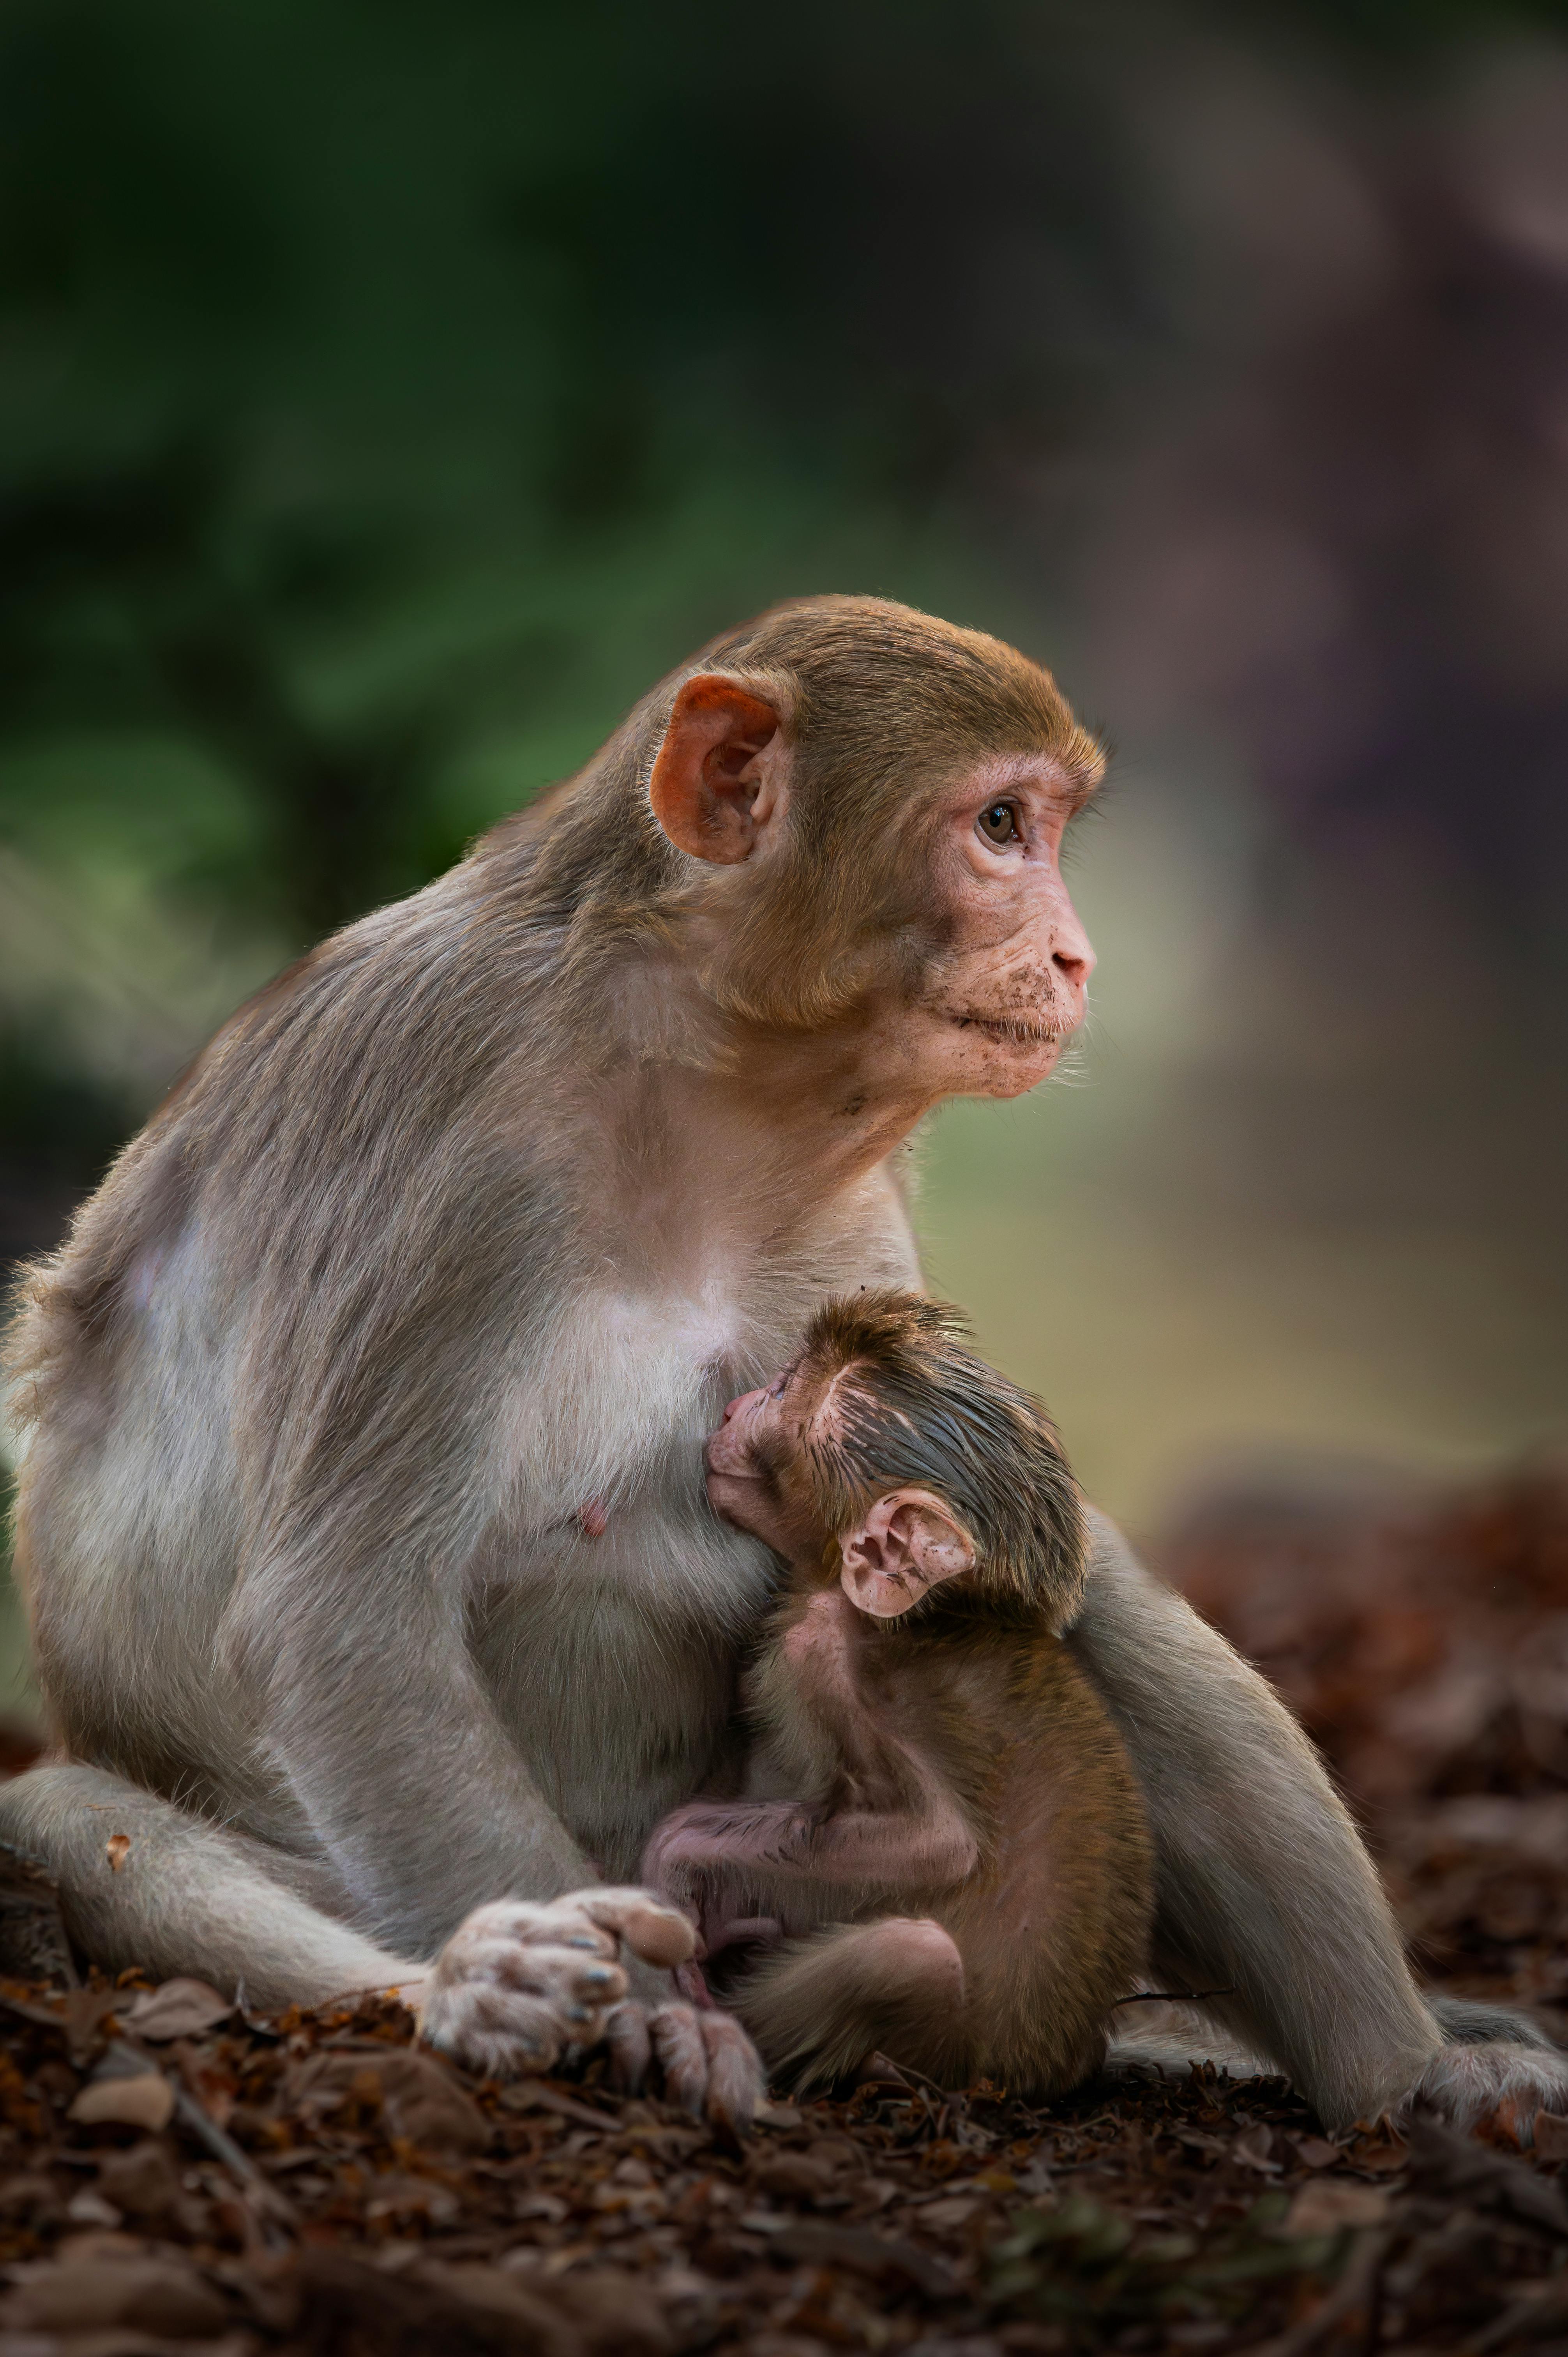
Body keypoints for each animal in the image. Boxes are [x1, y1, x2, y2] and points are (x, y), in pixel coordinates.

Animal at [641, 1290, 1155, 2098]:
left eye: (782, 1391)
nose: (732, 1408)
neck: (916, 1620)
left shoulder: (821, 1650)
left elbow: (937, 1844)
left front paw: (680, 1851)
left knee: (910, 1951)